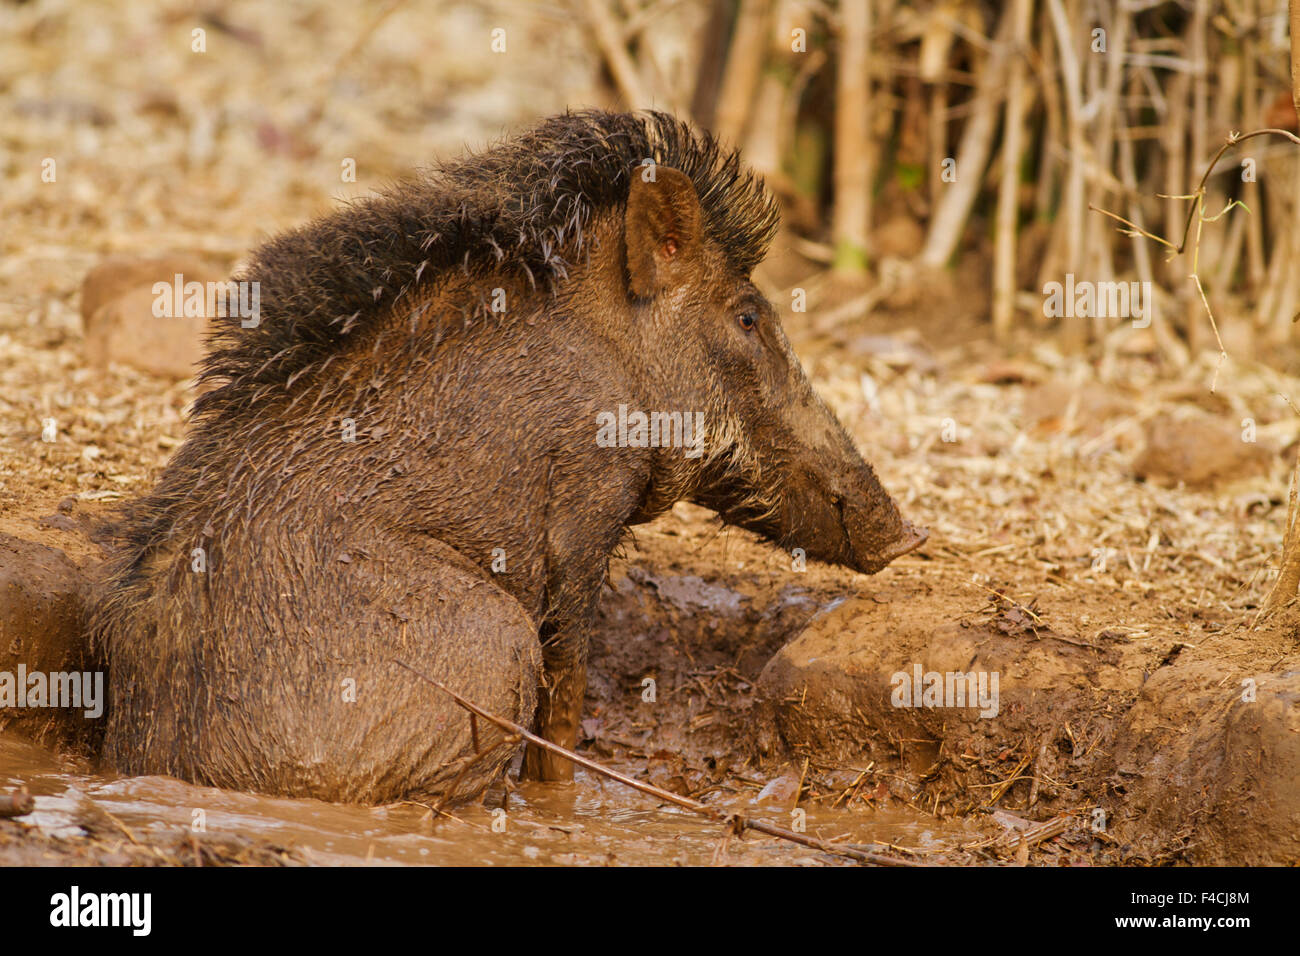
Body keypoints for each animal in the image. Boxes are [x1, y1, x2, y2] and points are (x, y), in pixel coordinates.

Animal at [90, 110, 926, 803]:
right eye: (748, 316)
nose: (910, 535)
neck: (617, 360)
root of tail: (168, 755)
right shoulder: (584, 510)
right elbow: (568, 685)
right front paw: (561, 802)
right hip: (493, 645)